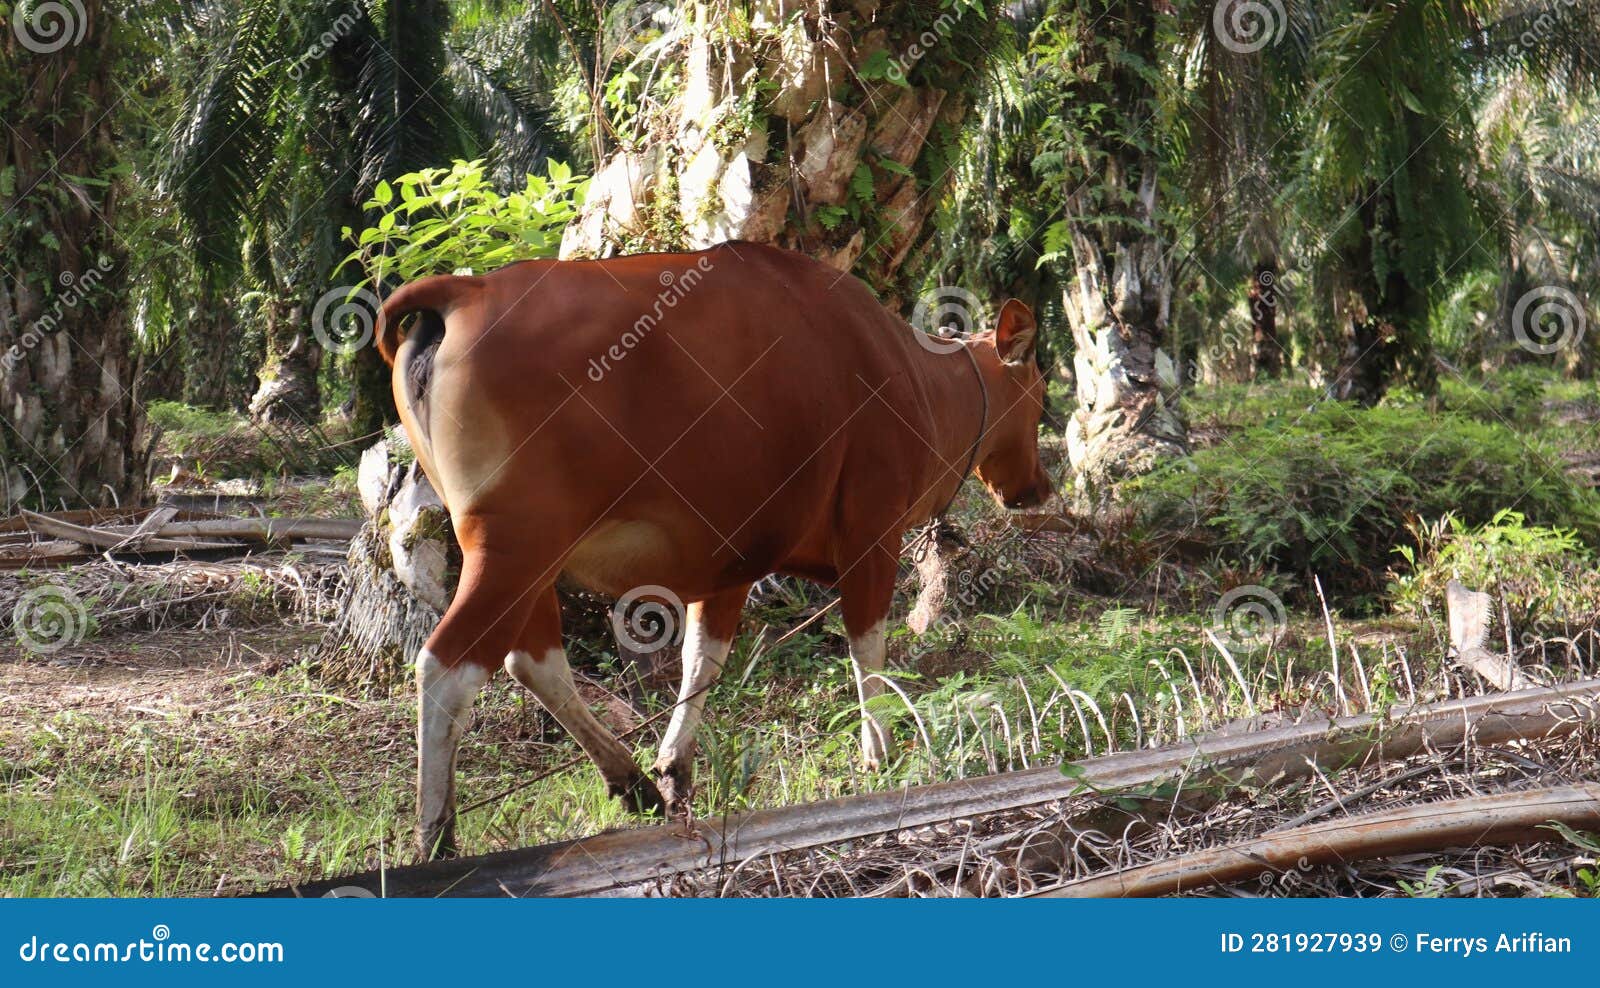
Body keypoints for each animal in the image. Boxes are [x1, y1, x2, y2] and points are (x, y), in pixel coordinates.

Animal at [375, 241, 1052, 858]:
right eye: (1042, 397)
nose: (1037, 488)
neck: (914, 375)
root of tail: (466, 291)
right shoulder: (871, 535)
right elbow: (869, 653)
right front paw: (877, 752)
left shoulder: (731, 564)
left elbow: (703, 659)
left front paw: (675, 768)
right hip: (514, 546)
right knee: (447, 668)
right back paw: (435, 835)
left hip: (527, 558)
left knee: (532, 661)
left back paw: (629, 781)